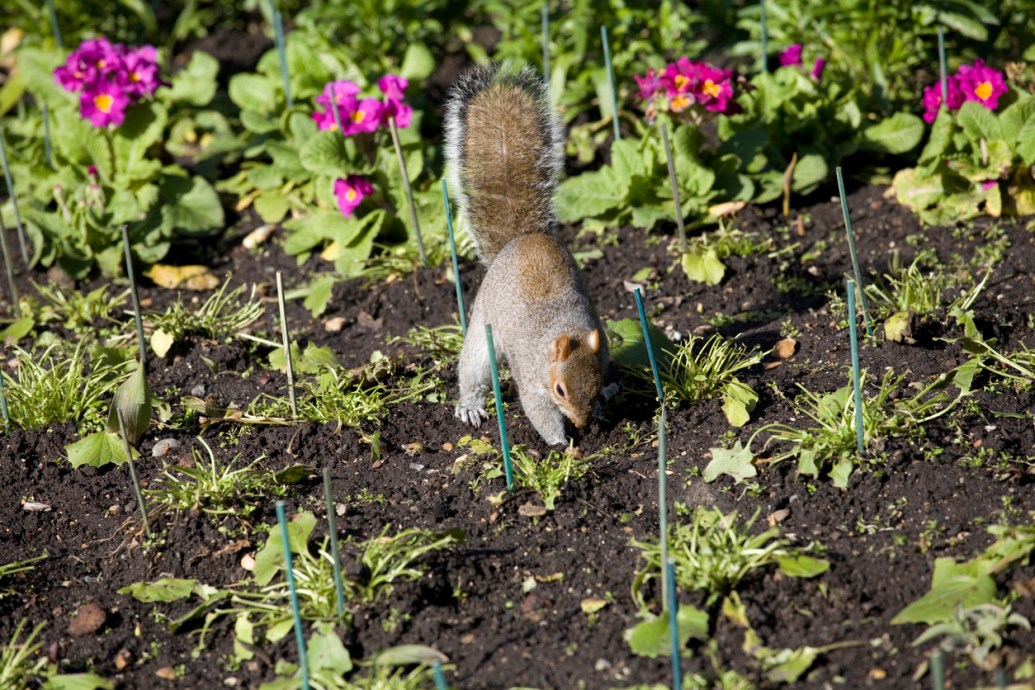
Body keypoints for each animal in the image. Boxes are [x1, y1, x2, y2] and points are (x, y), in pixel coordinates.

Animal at [444, 63, 610, 446]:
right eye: (560, 390)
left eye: (596, 383)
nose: (581, 424)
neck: (564, 329)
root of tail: (521, 239)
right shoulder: (531, 376)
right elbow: (538, 411)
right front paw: (561, 443)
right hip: (482, 332)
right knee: (472, 370)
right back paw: (470, 404)